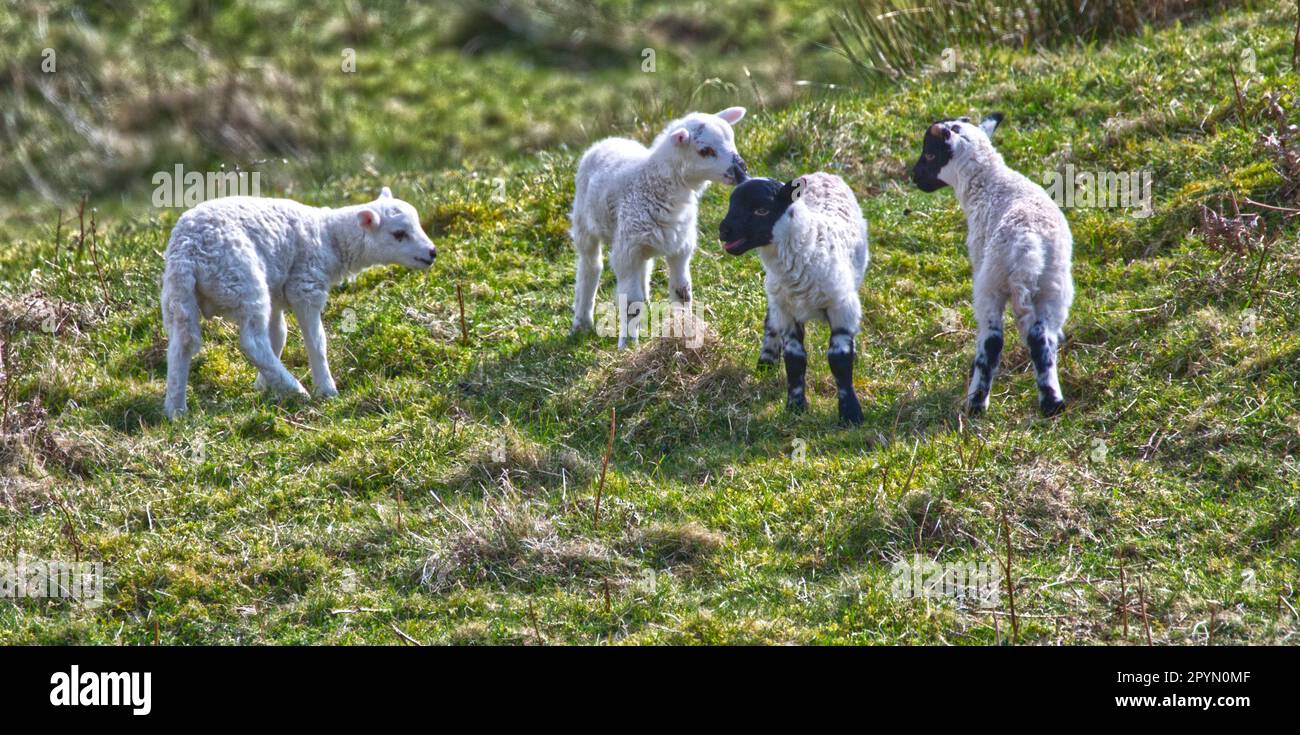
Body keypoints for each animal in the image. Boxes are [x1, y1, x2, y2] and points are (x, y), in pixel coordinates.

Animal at [161, 187, 436, 419]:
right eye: (399, 234)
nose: (432, 252)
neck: (330, 238)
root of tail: (188, 250)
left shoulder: (277, 292)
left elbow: (279, 335)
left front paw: (263, 386)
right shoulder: (305, 285)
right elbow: (316, 341)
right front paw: (326, 389)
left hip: (179, 296)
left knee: (181, 344)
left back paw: (176, 410)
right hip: (241, 279)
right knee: (252, 343)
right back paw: (297, 391)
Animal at [570, 107, 748, 348]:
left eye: (732, 139)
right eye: (705, 150)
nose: (741, 170)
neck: (651, 182)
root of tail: (606, 141)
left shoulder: (680, 248)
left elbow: (682, 292)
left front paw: (684, 329)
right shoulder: (626, 253)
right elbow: (630, 303)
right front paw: (627, 345)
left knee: (644, 268)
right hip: (584, 224)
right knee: (590, 267)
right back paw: (582, 321)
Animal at [718, 173, 870, 425]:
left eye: (762, 210)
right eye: (731, 203)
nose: (723, 231)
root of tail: (822, 173)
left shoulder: (841, 307)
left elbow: (839, 359)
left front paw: (851, 414)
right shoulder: (787, 311)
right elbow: (795, 360)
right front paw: (795, 406)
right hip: (777, 296)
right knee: (770, 322)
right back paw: (766, 362)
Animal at [910, 113, 1074, 417]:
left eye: (930, 153)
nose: (914, 177)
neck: (989, 181)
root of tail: (1027, 245)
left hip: (991, 282)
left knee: (992, 341)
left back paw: (976, 402)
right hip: (1054, 285)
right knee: (1042, 338)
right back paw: (1052, 402)